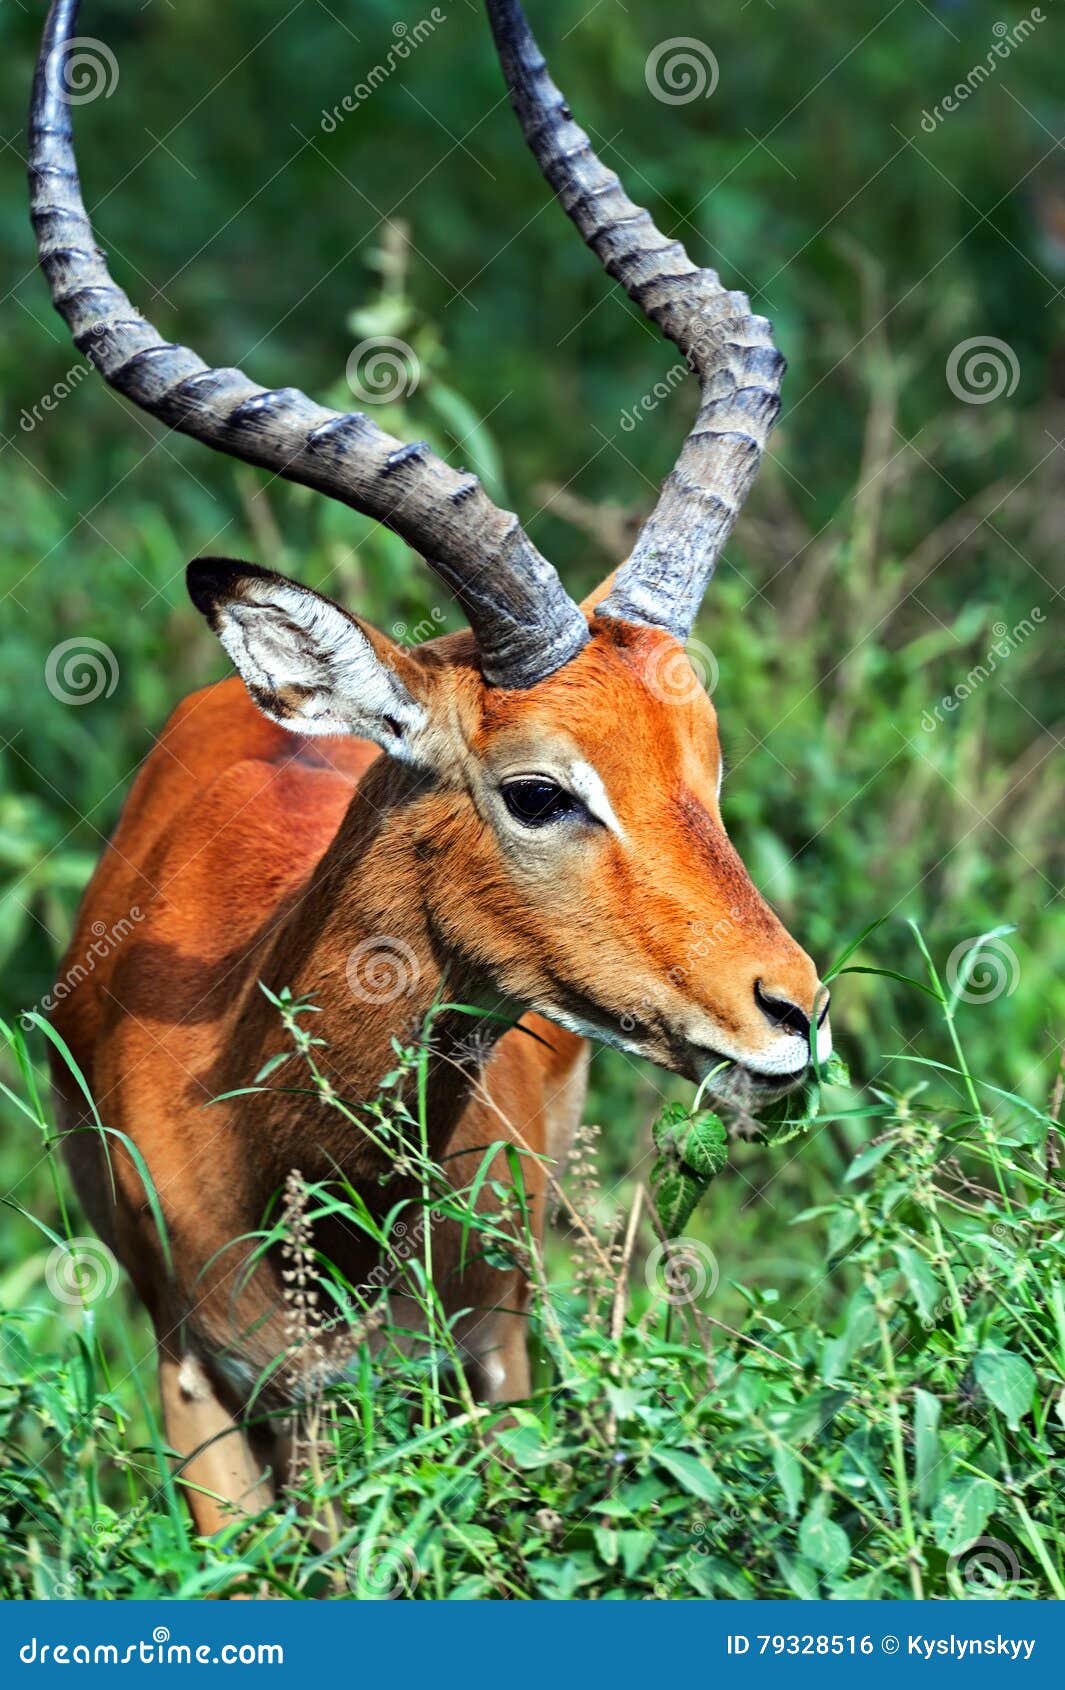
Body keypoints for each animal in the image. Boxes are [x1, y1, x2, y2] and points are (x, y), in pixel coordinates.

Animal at [29, 0, 831, 1533]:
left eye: (704, 760)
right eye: (537, 788)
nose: (796, 1014)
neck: (273, 1139)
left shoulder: (487, 1353)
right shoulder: (194, 1383)